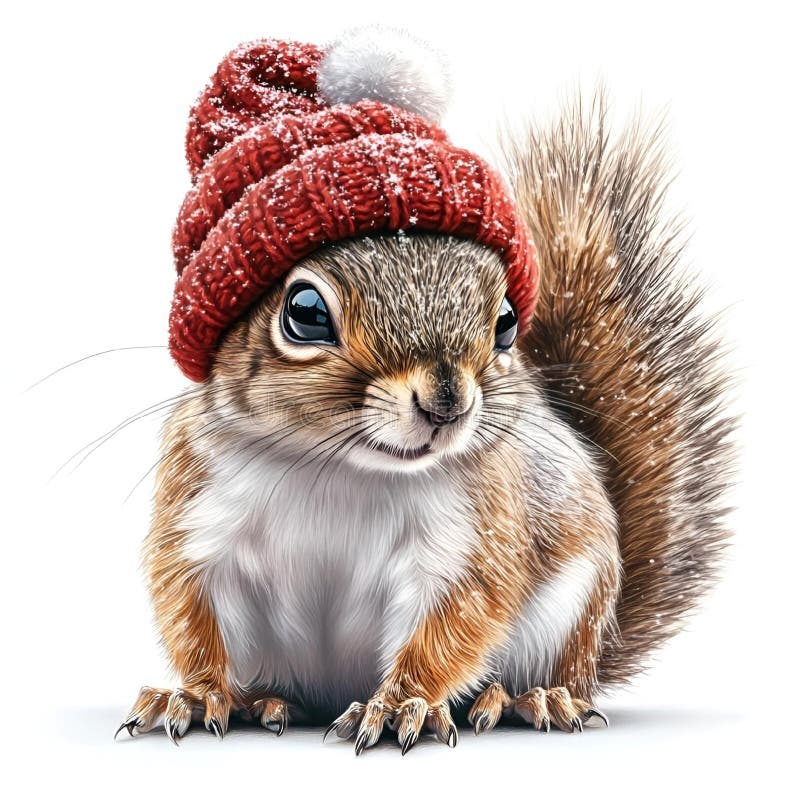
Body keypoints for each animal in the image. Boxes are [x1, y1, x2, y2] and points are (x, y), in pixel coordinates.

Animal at [116, 28, 734, 753]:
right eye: (304, 312)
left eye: (506, 322)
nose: (448, 401)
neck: (339, 471)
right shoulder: (199, 520)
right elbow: (194, 618)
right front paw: (193, 695)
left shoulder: (470, 535)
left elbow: (451, 625)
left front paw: (398, 706)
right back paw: (267, 700)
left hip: (571, 612)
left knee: (556, 675)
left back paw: (528, 698)